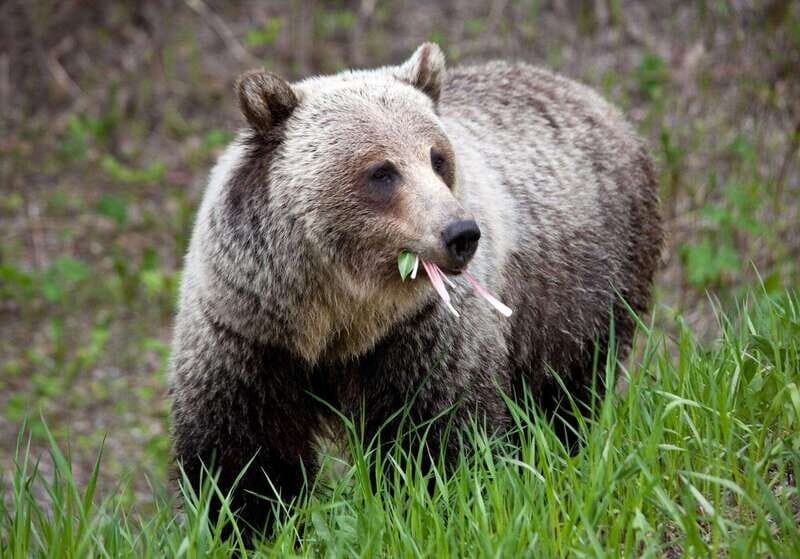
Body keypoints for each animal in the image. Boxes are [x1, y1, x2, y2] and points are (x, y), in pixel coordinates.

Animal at [169, 43, 662, 540]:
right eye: (382, 171)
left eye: (437, 157)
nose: (461, 233)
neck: (334, 314)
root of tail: (586, 94)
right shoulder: (248, 330)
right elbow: (245, 455)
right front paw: (249, 526)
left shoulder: (420, 331)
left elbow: (433, 436)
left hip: (582, 289)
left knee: (568, 392)